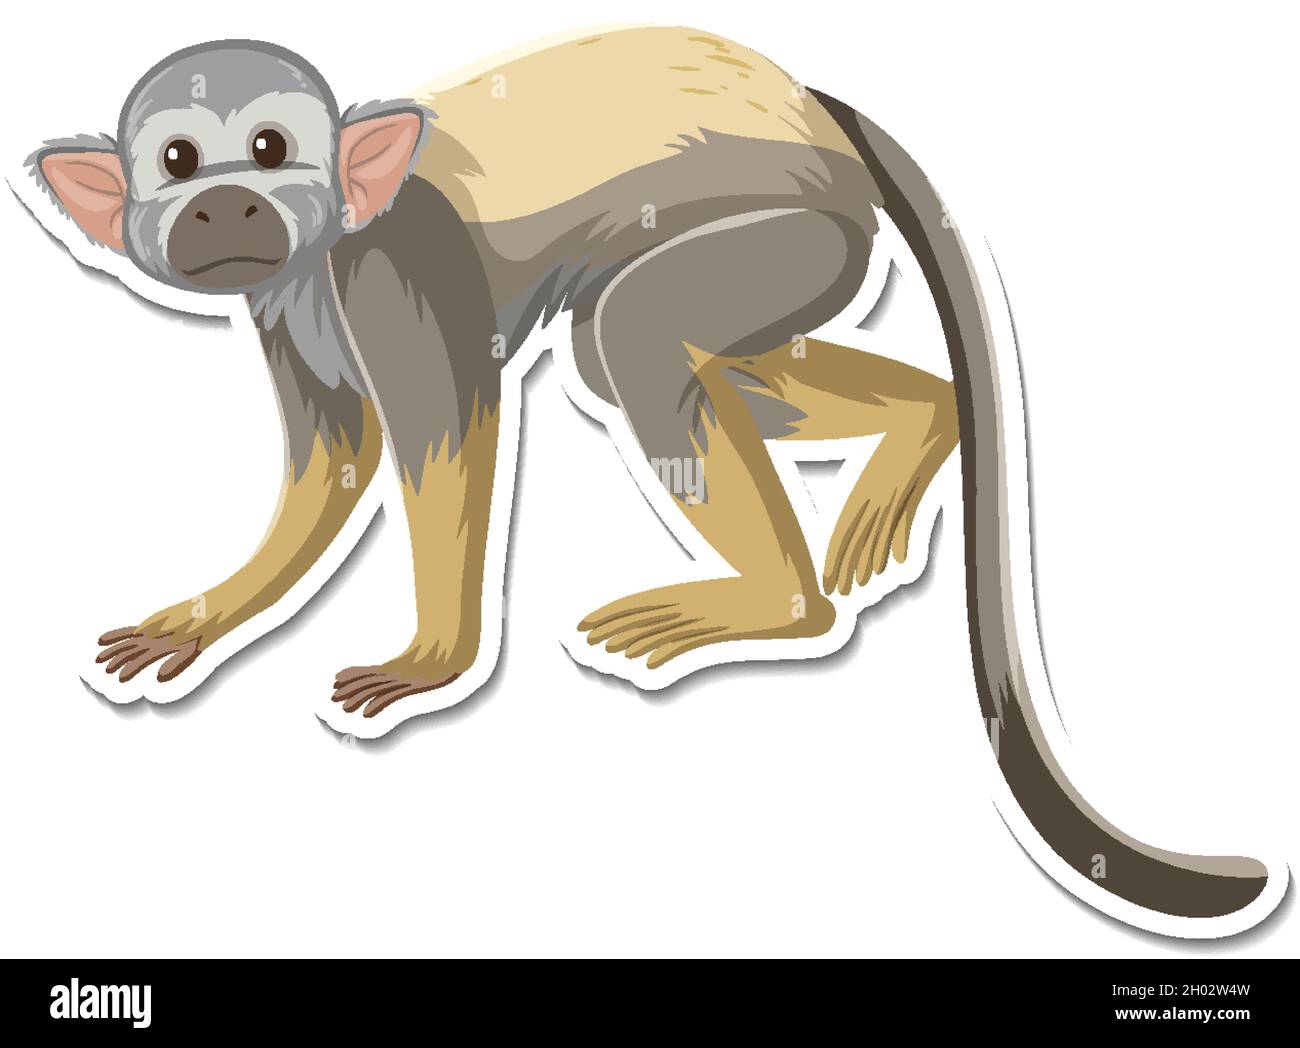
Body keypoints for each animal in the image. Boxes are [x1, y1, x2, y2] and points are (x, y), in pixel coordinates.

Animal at [23, 26, 1276, 929]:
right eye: (177, 164)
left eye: (275, 152)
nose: (226, 205)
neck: (320, 251)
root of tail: (810, 99)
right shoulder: (284, 302)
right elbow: (335, 461)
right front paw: (203, 619)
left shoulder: (388, 268)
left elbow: (444, 431)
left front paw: (432, 661)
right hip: (820, 239)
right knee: (635, 342)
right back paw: (918, 423)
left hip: (800, 221)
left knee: (628, 331)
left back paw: (779, 601)